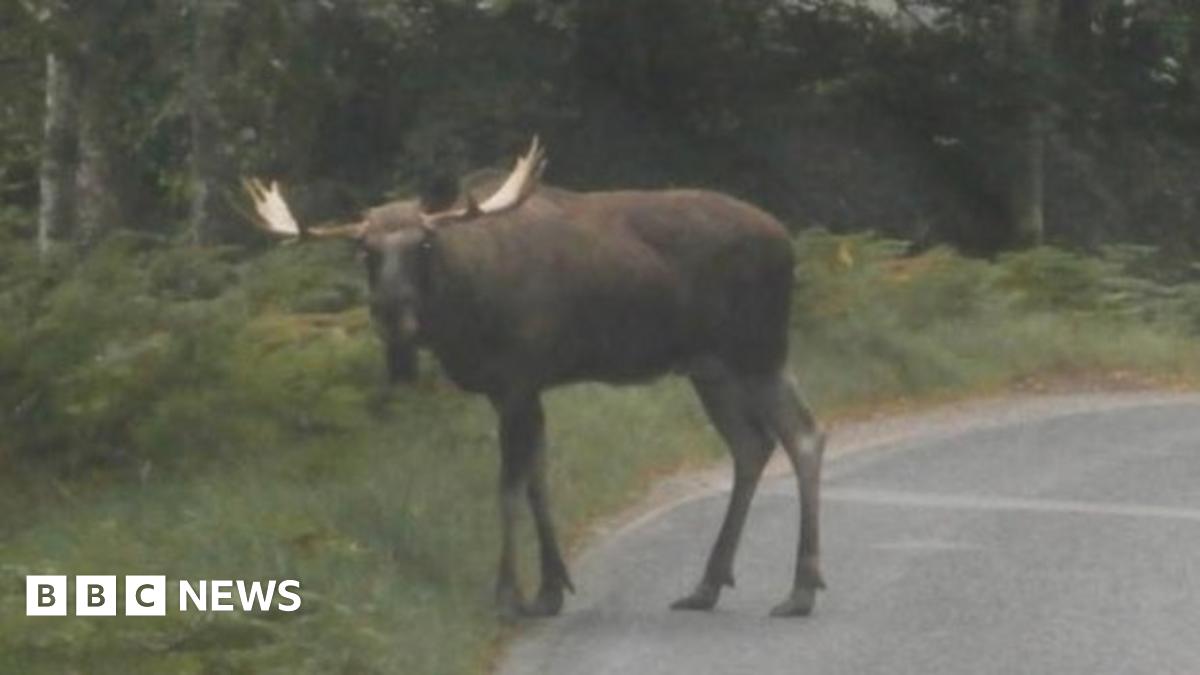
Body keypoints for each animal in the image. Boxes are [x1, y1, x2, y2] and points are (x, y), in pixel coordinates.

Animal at [243, 137, 826, 618]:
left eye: (424, 244)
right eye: (365, 251)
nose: (393, 315)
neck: (465, 313)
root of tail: (788, 242)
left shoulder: (518, 381)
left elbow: (508, 487)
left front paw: (508, 594)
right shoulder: (520, 390)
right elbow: (537, 480)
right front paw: (550, 587)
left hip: (757, 351)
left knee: (802, 435)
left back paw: (800, 589)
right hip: (711, 368)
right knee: (754, 444)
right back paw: (709, 584)